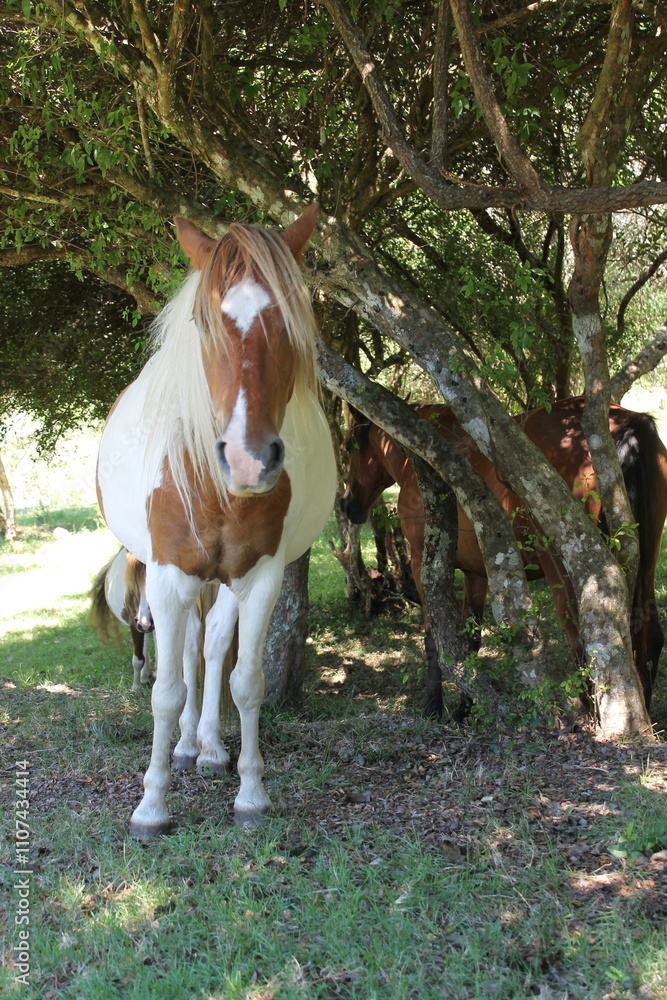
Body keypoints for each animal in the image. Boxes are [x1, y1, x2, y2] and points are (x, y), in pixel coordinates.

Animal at [88, 547, 155, 691]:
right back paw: (144, 676)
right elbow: (138, 659)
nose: (144, 624)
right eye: (132, 586)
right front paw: (136, 687)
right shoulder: (133, 624)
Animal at [96, 205, 336, 836]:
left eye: (289, 322)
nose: (249, 458)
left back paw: (208, 748)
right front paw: (152, 805)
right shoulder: (167, 575)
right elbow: (166, 690)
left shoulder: (261, 578)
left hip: (224, 581)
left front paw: (251, 793)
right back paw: (184, 748)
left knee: (210, 648)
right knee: (185, 655)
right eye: (203, 324)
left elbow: (245, 681)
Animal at [341, 397, 667, 714]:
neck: (420, 457)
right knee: (649, 632)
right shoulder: (477, 573)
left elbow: (434, 638)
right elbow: (470, 641)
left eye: (347, 447)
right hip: (644, 562)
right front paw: (464, 709)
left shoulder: (424, 560)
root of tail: (626, 424)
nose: (347, 505)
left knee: (583, 640)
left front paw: (433, 706)